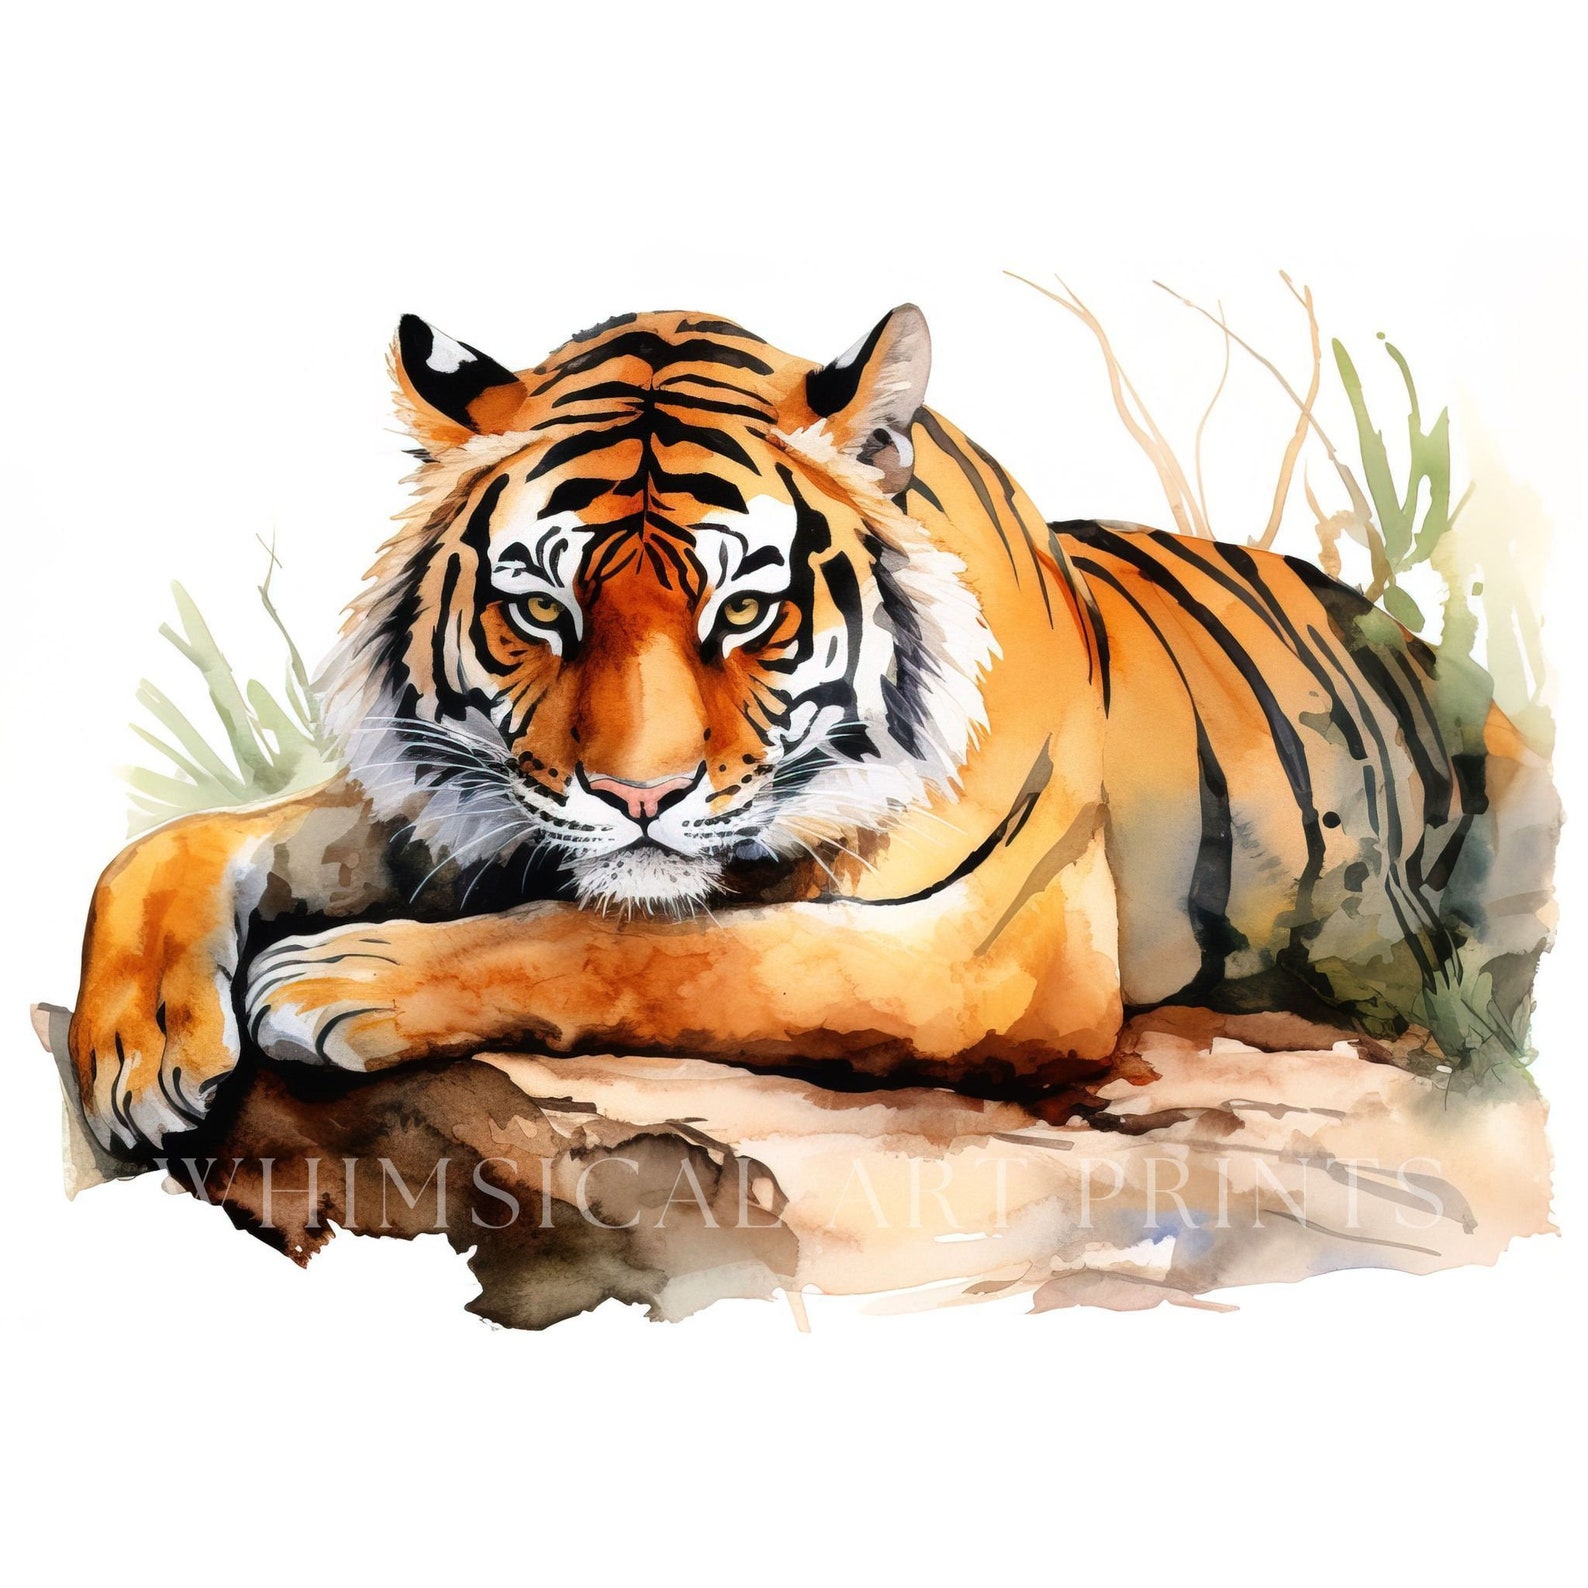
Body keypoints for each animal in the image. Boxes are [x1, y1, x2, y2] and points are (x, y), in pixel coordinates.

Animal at [68, 305, 1558, 1154]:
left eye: (744, 608)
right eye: (542, 605)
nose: (639, 796)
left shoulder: (997, 948)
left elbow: (669, 951)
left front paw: (342, 978)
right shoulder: (470, 805)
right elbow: (178, 842)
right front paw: (141, 1043)